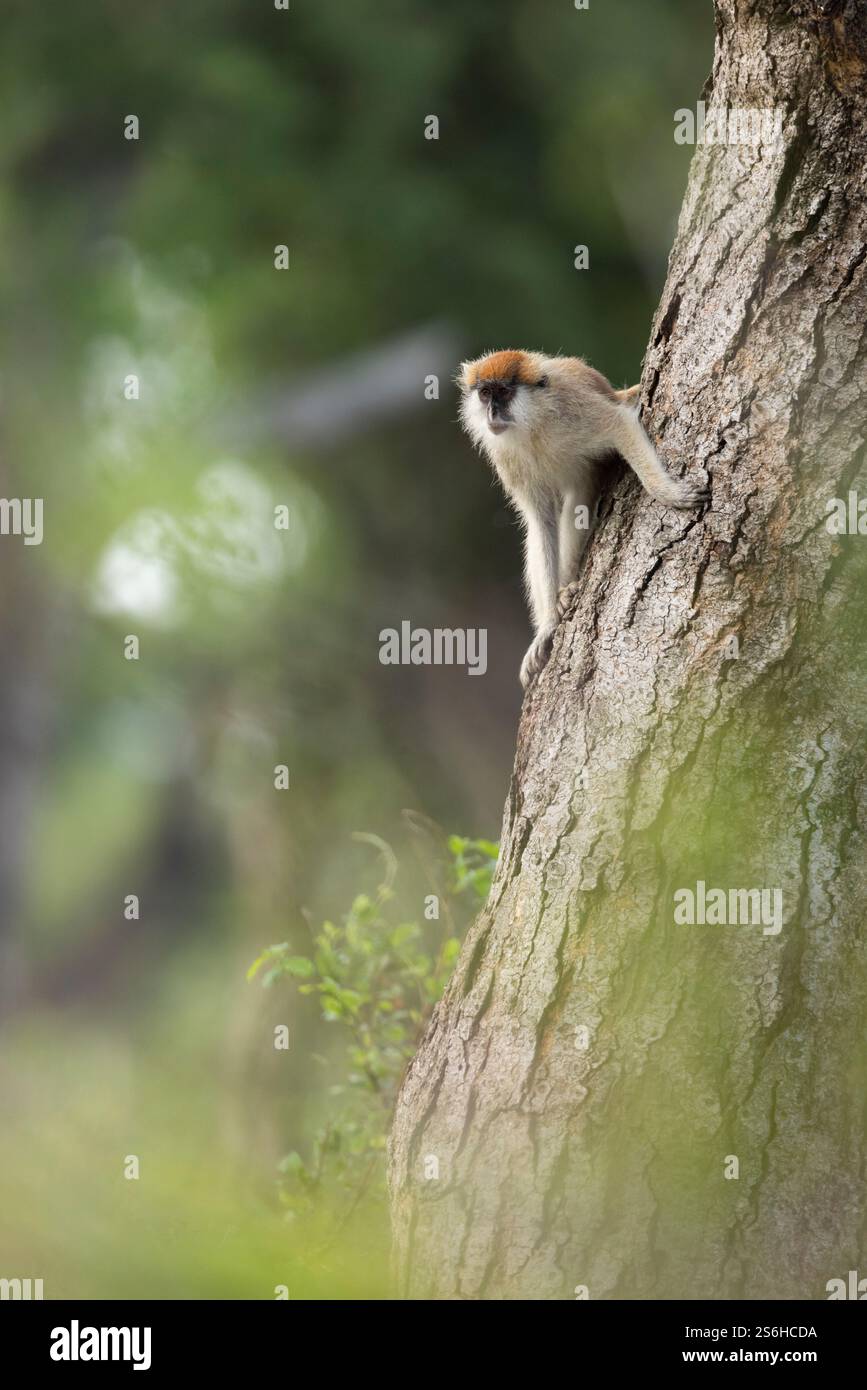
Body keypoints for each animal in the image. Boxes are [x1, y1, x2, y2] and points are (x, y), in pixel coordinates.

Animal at [457, 349, 709, 688]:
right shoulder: (507, 457)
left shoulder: (572, 411)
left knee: (579, 496)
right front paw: (548, 626)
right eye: (485, 394)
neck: (532, 425)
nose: (492, 414)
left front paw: (667, 492)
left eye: (504, 393)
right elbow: (541, 521)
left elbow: (618, 424)